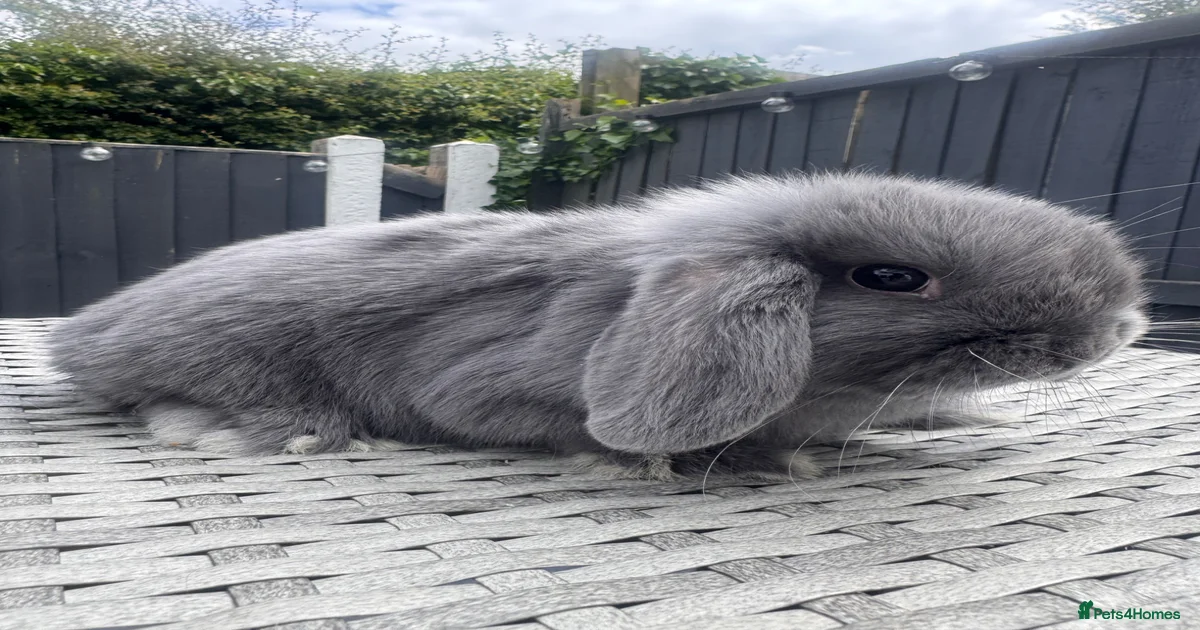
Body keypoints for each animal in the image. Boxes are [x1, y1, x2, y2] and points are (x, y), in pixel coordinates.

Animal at [45, 171, 1150, 481]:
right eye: (892, 277)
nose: (1123, 325)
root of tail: (81, 332)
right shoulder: (486, 383)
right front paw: (718, 462)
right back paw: (267, 434)